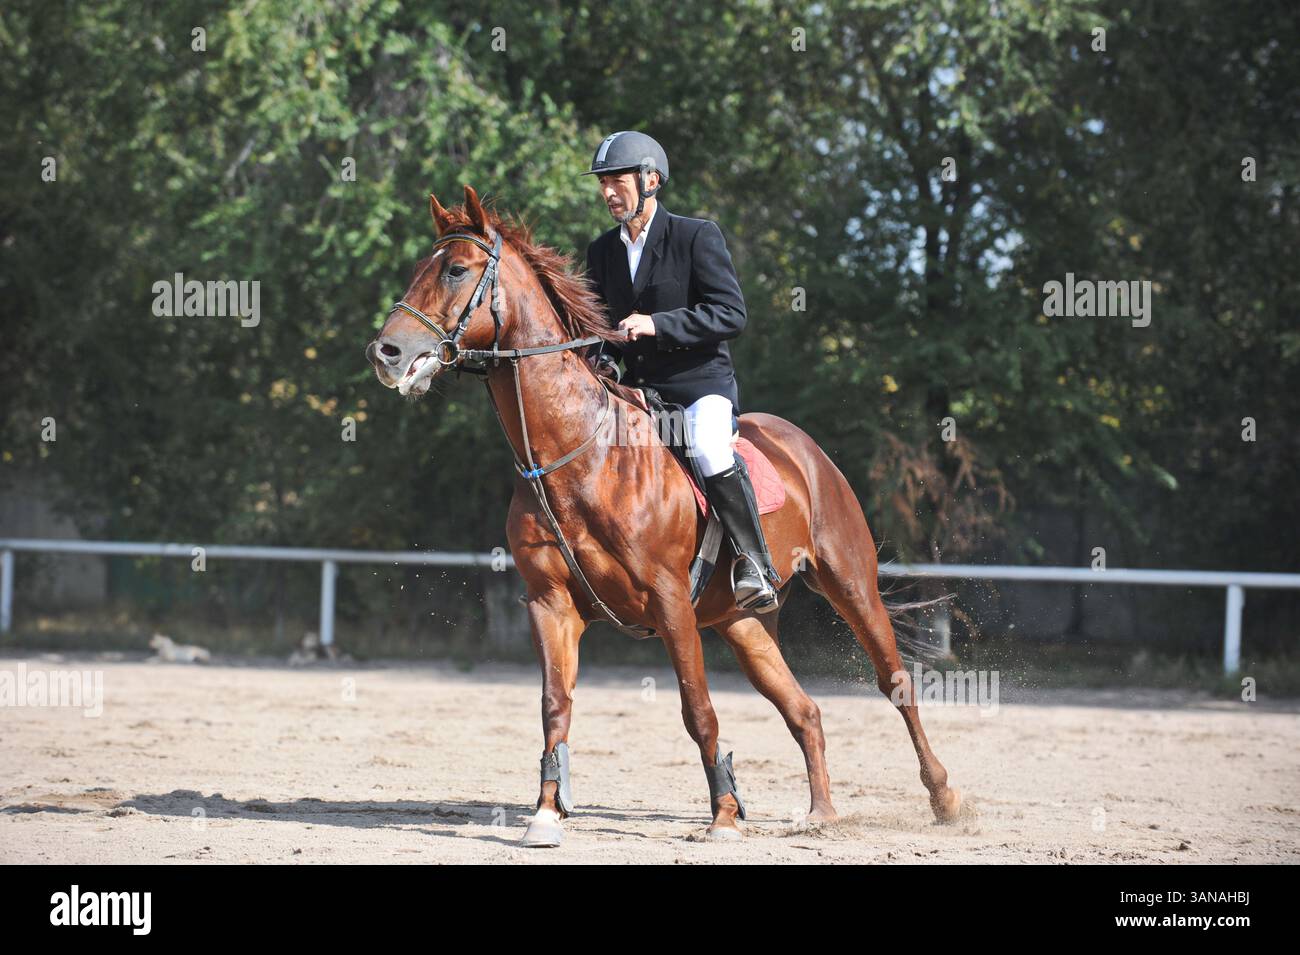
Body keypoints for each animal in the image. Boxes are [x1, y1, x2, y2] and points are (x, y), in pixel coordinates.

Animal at [366, 185, 961, 847]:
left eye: (455, 270)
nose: (386, 353)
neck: (579, 455)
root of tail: (804, 447)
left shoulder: (670, 600)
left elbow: (697, 710)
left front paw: (723, 817)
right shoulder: (551, 603)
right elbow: (555, 706)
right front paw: (546, 813)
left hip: (850, 584)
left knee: (896, 683)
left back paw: (943, 798)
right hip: (741, 623)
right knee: (803, 710)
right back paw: (821, 814)